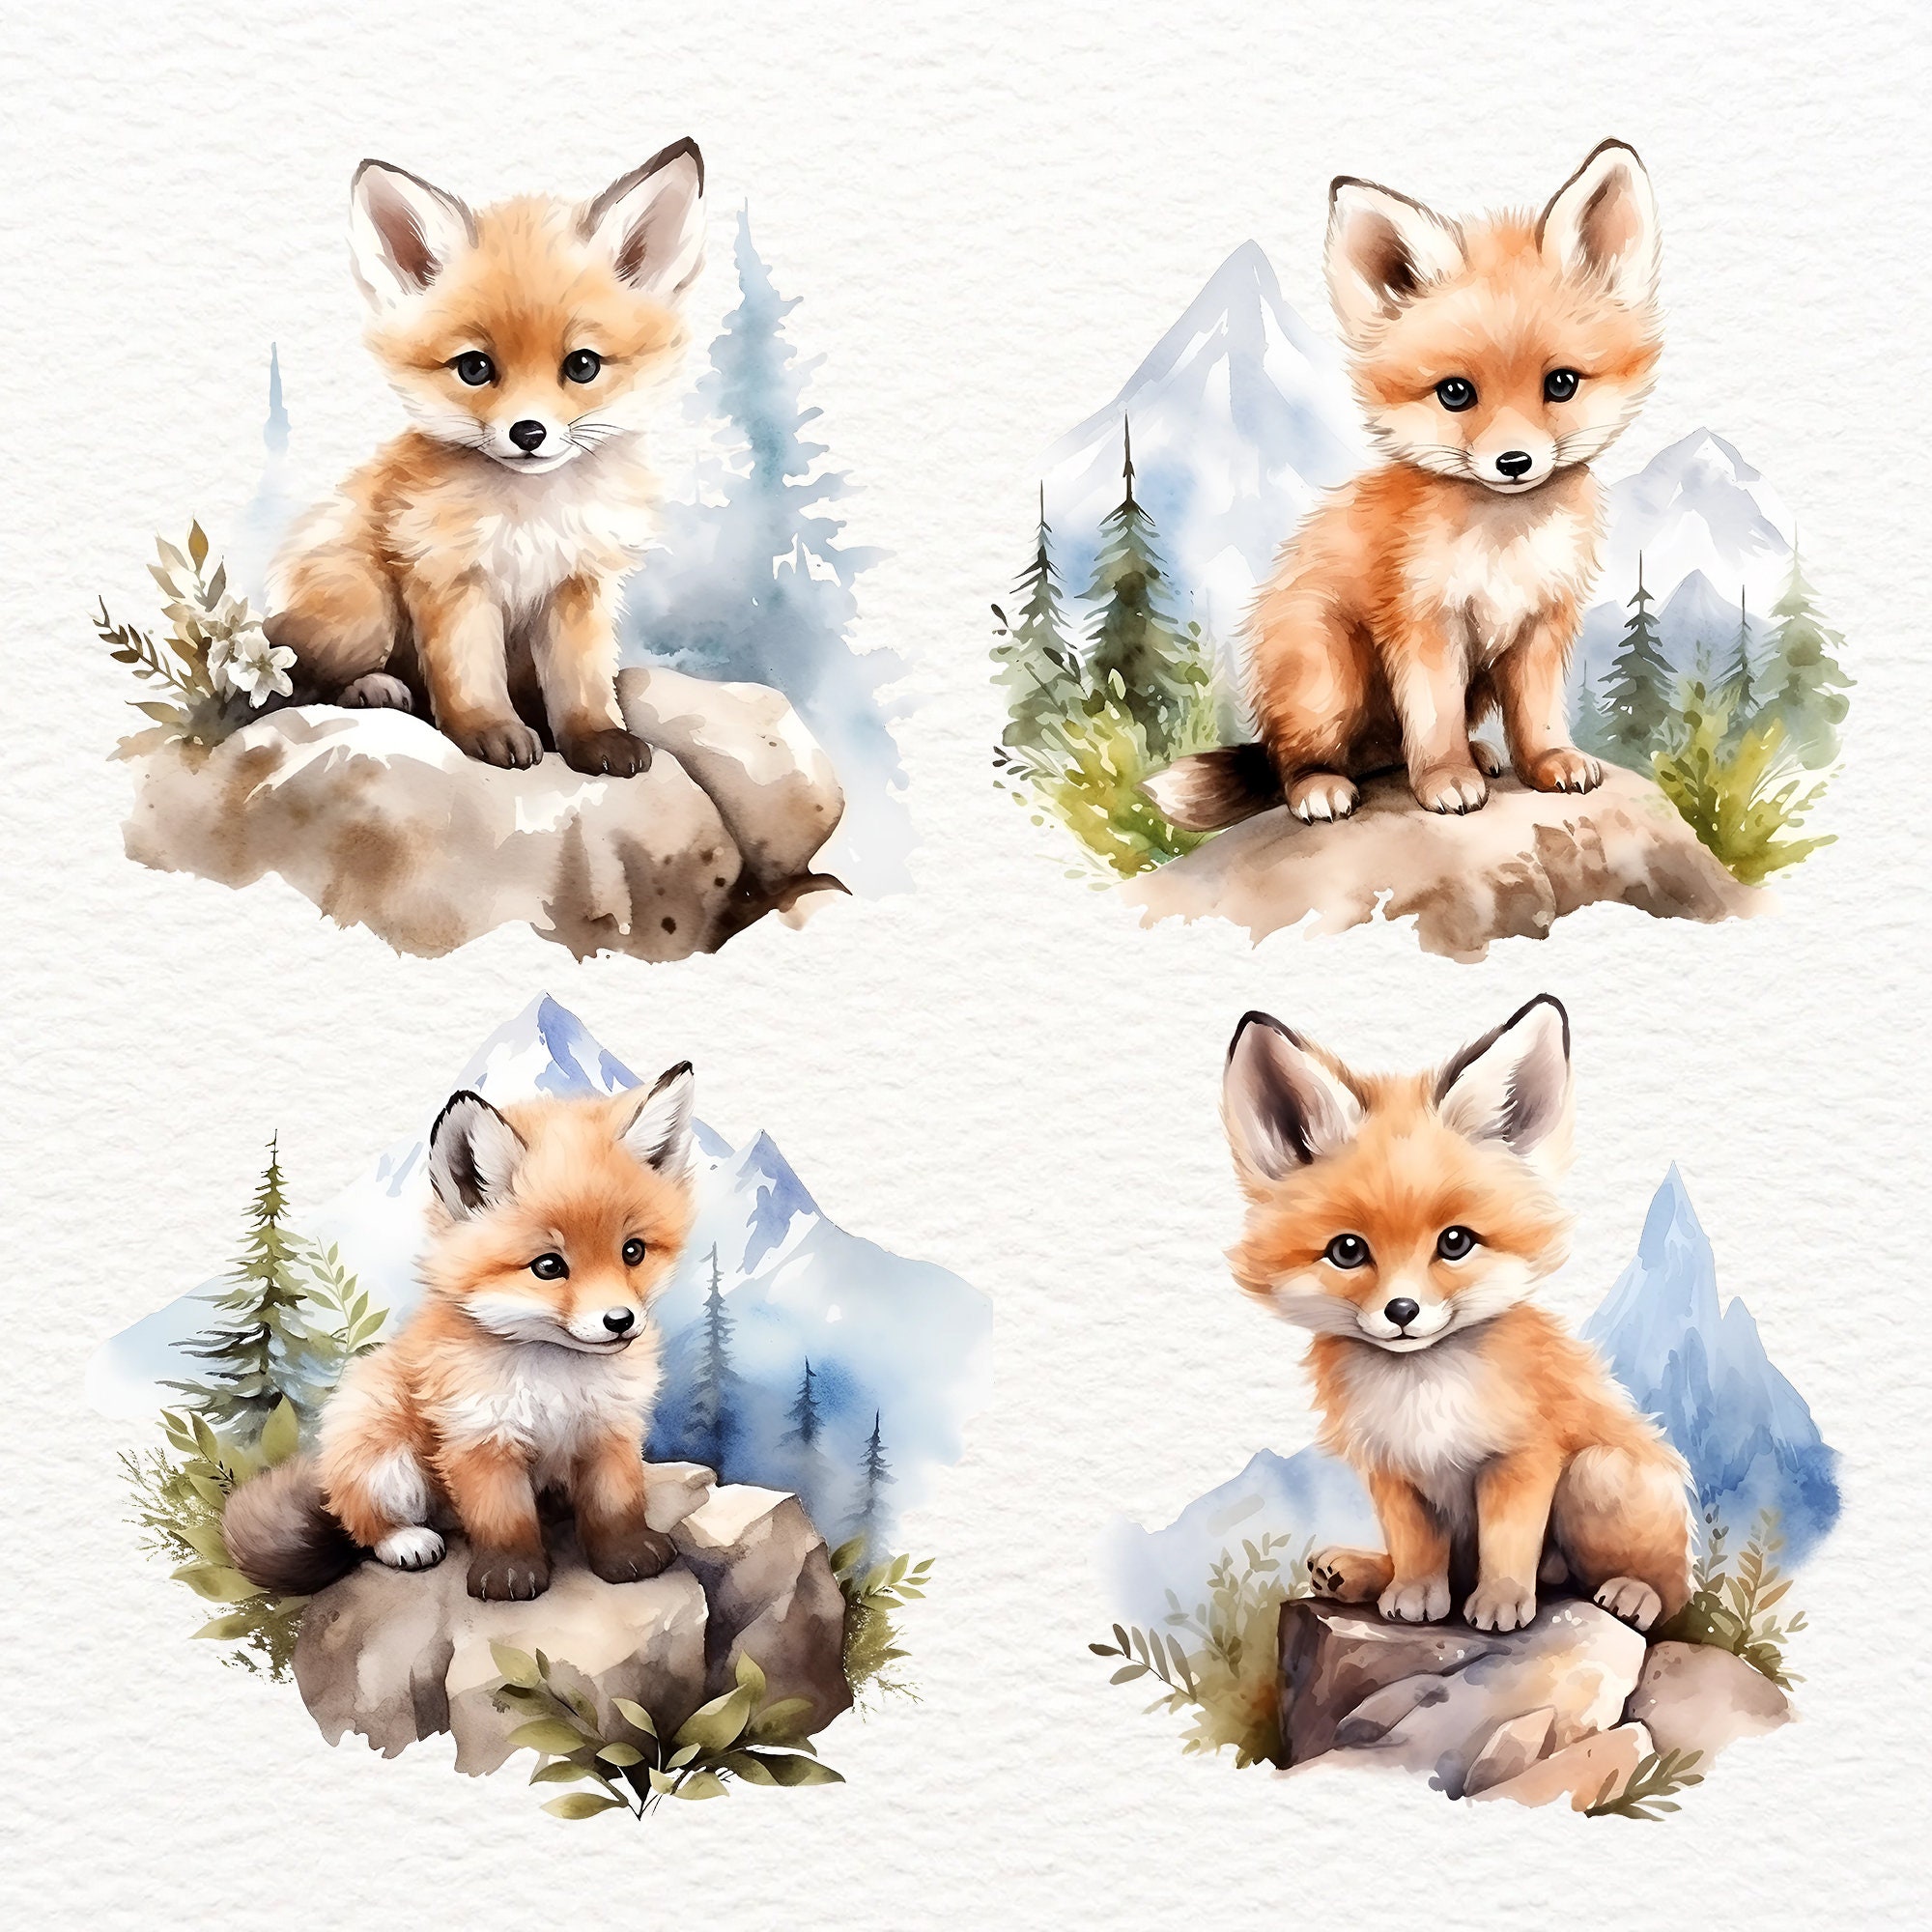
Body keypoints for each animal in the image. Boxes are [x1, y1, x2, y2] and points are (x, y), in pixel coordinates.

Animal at [223, 1066, 698, 1603]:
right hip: (381, 1450)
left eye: (633, 1251)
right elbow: (503, 1519)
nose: (620, 1320)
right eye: (548, 1266)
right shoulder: (479, 1436)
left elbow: (615, 1505)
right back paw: (405, 1540)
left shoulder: (609, 1430)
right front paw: (509, 1573)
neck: (556, 1378)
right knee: (362, 1522)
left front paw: (626, 1554)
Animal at [262, 142, 708, 776]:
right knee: (292, 675)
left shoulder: (578, 585)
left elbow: (582, 681)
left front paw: (595, 736)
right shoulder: (450, 575)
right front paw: (490, 731)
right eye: (474, 368)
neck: (533, 515)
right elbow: (469, 676)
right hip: (364, 613)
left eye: (583, 365)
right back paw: (373, 688)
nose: (529, 432)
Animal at [1146, 141, 1663, 832]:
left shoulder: (1541, 623)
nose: (1515, 461)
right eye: (1455, 393)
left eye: (1560, 384)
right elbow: (1433, 720)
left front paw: (1548, 762)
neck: (1505, 540)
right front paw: (1444, 779)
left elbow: (1538, 715)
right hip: (1328, 672)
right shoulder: (1424, 622)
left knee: (1385, 752)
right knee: (1297, 760)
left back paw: (1477, 756)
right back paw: (1321, 788)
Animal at [1220, 993, 1693, 1634]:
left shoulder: (1523, 1456)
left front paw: (1501, 1601)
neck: (1423, 1390)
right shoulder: (1392, 1469)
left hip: (1599, 1474)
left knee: (1669, 1591)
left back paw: (1631, 1592)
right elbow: (1416, 1546)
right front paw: (1416, 1593)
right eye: (1348, 1251)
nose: (1402, 1310)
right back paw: (1356, 1571)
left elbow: (1507, 1542)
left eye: (1455, 1242)